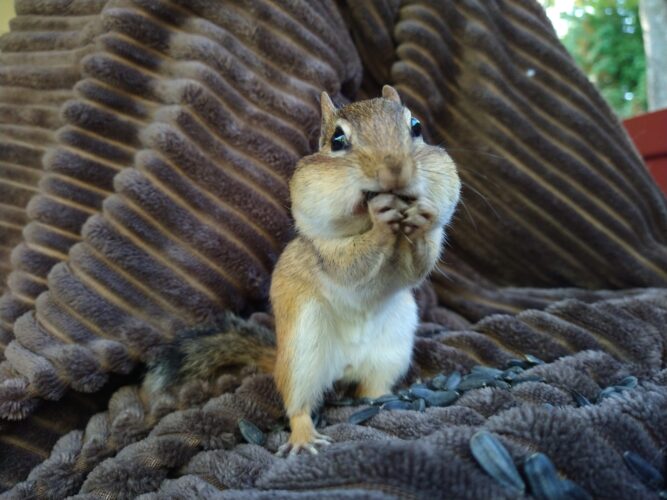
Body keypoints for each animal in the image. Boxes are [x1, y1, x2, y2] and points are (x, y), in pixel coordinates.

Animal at [144, 85, 461, 456]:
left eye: (416, 126)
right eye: (337, 139)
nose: (395, 170)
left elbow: (418, 266)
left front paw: (423, 215)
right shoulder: (327, 251)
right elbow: (353, 264)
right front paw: (381, 220)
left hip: (392, 351)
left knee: (372, 389)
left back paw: (392, 400)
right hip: (302, 352)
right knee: (298, 404)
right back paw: (304, 436)